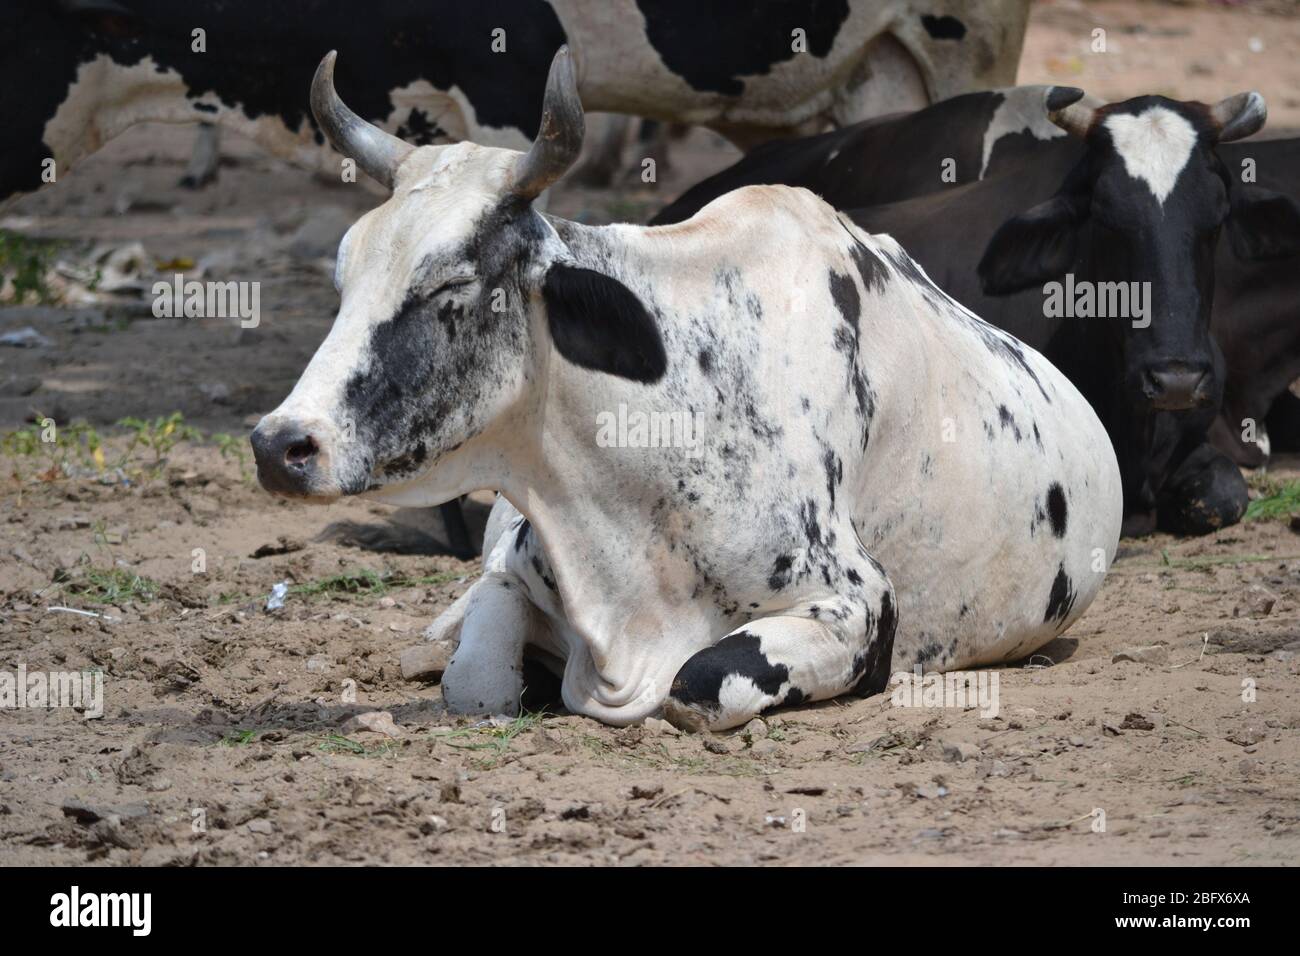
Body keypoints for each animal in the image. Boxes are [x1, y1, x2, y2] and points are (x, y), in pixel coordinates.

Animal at [250, 49, 1123, 730]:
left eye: (450, 287)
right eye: (344, 276)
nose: (280, 443)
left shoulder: (857, 604)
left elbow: (695, 685)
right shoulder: (518, 564)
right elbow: (477, 684)